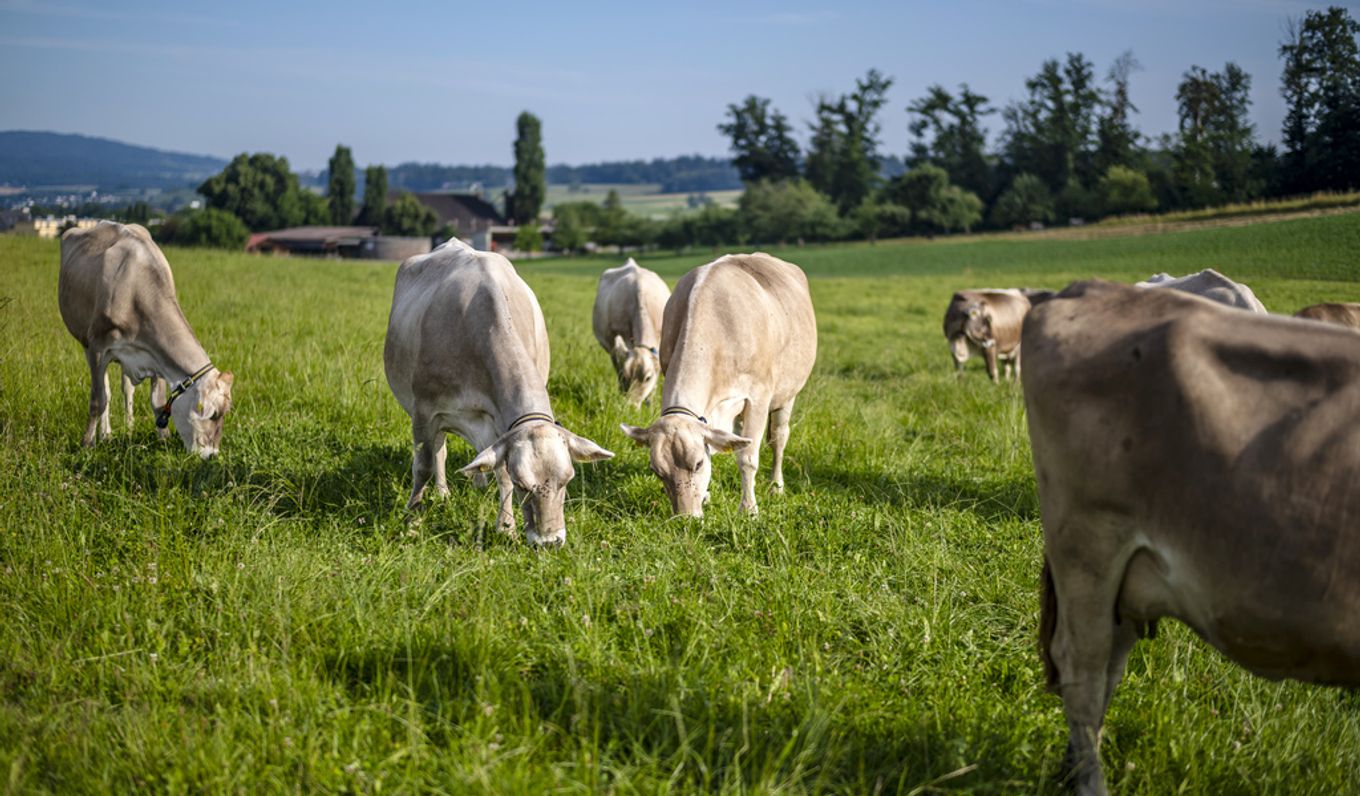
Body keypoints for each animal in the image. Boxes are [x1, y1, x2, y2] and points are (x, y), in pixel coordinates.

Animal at [58, 221, 233, 458]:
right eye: (213, 414)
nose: (213, 455)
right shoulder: (97, 349)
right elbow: (97, 401)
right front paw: (87, 444)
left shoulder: (156, 357)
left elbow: (157, 403)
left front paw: (163, 440)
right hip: (88, 344)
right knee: (106, 392)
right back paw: (105, 434)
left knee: (126, 389)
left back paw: (128, 427)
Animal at [382, 238, 613, 546]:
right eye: (523, 484)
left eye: (567, 479)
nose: (550, 542)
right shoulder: (424, 411)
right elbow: (423, 467)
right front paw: (412, 519)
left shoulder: (501, 426)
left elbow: (500, 470)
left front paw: (506, 526)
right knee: (439, 452)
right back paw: (442, 493)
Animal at [621, 253, 816, 517]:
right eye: (657, 471)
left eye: (698, 463)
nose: (685, 517)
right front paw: (706, 496)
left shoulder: (758, 397)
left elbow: (747, 457)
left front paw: (749, 509)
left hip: (787, 394)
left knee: (778, 438)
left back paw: (776, 486)